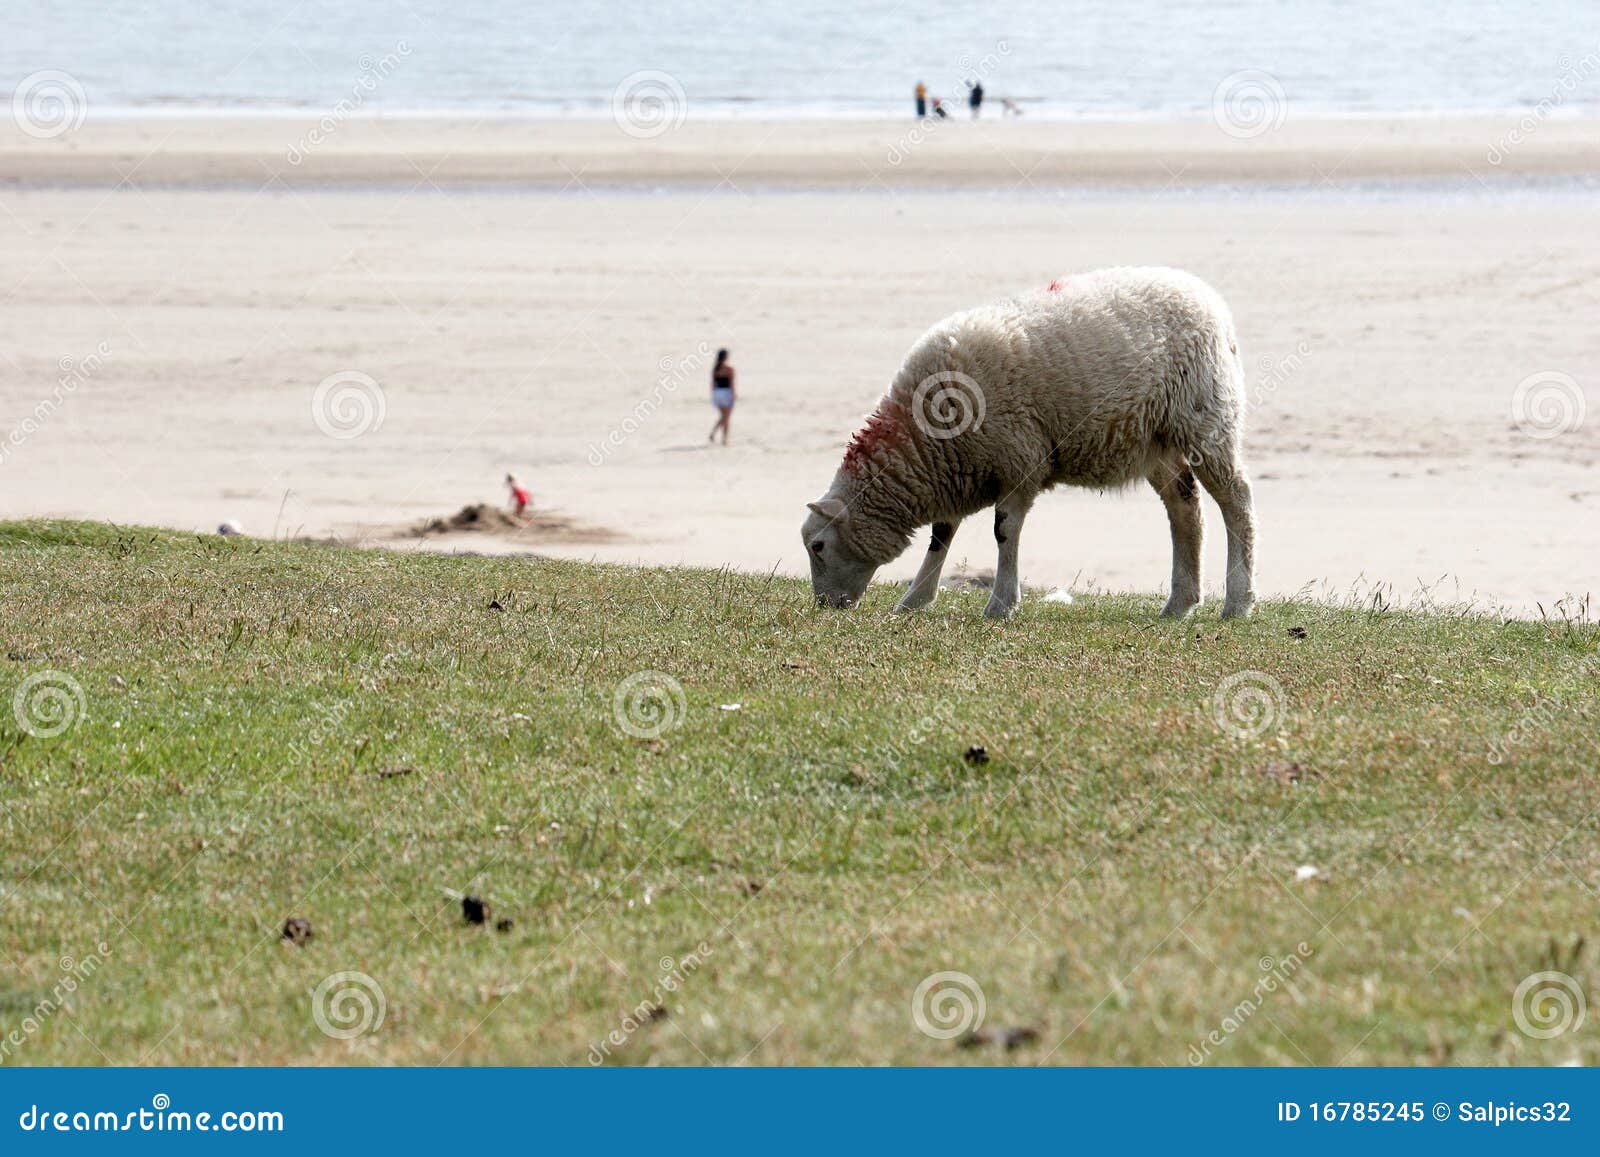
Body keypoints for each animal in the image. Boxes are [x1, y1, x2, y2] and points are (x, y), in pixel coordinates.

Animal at [801, 266, 1257, 619]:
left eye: (818, 546)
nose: (825, 606)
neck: (918, 436)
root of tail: (1211, 301)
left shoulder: (1018, 460)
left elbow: (1004, 532)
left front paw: (1001, 604)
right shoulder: (957, 469)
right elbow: (941, 535)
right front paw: (915, 599)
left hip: (1206, 420)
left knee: (1237, 502)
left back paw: (1238, 601)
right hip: (1154, 441)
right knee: (1185, 508)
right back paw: (1180, 603)